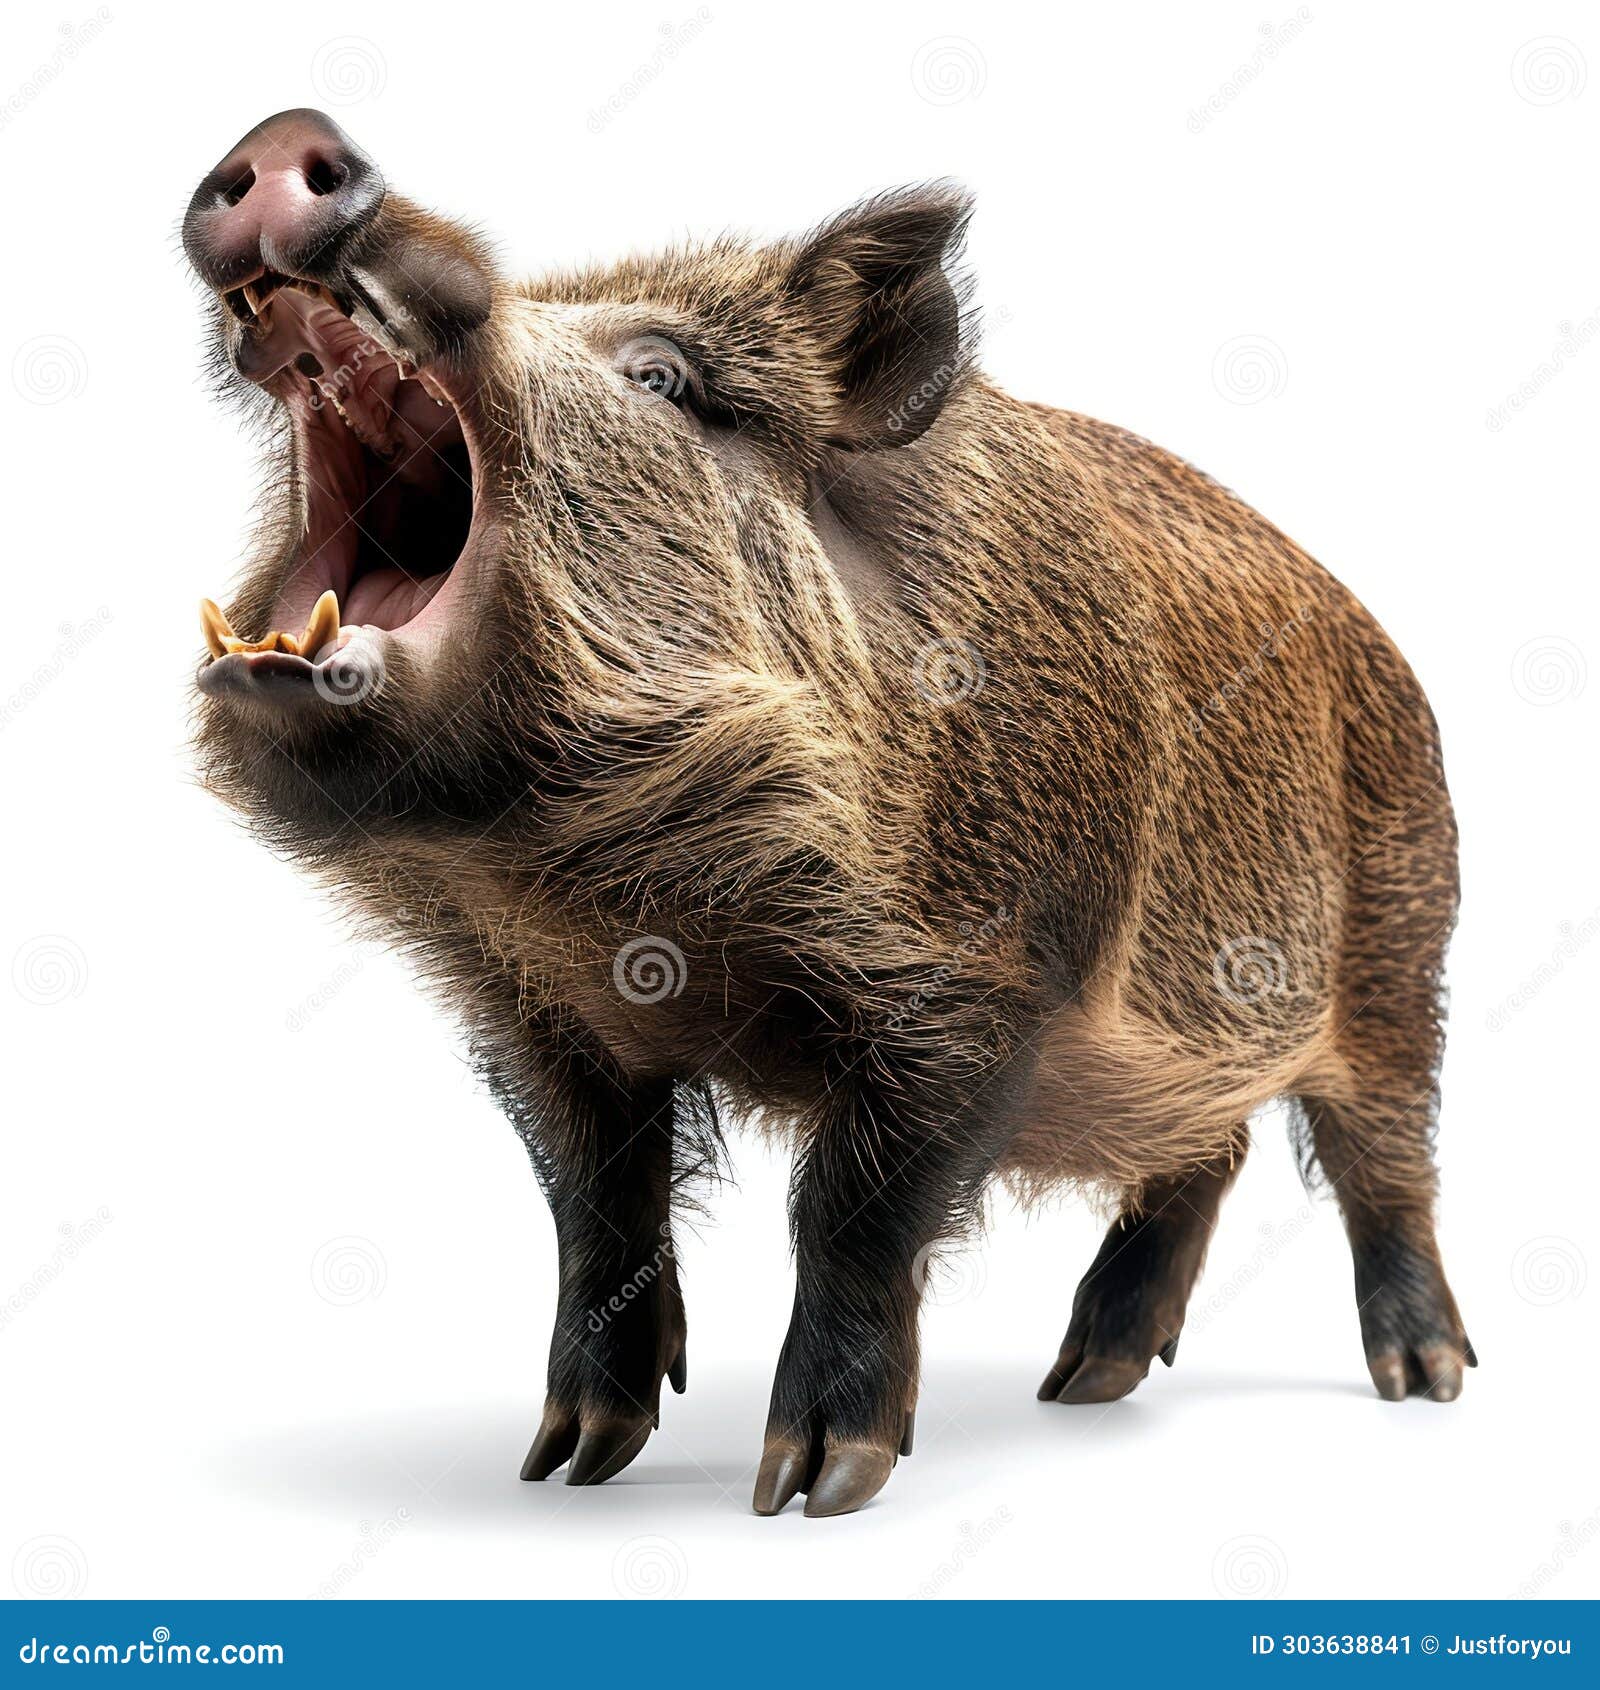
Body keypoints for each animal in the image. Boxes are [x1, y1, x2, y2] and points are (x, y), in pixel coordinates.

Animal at [183, 109, 1472, 1518]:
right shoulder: (532, 1009)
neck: (591, 887)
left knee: (1384, 1154)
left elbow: (850, 1212)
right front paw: (565, 1462)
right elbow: (594, 1206)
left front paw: (812, 1487)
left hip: (1404, 938)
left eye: (661, 377)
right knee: (1209, 1152)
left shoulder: (976, 982)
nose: (286, 138)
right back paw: (1082, 1382)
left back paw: (1425, 1381)